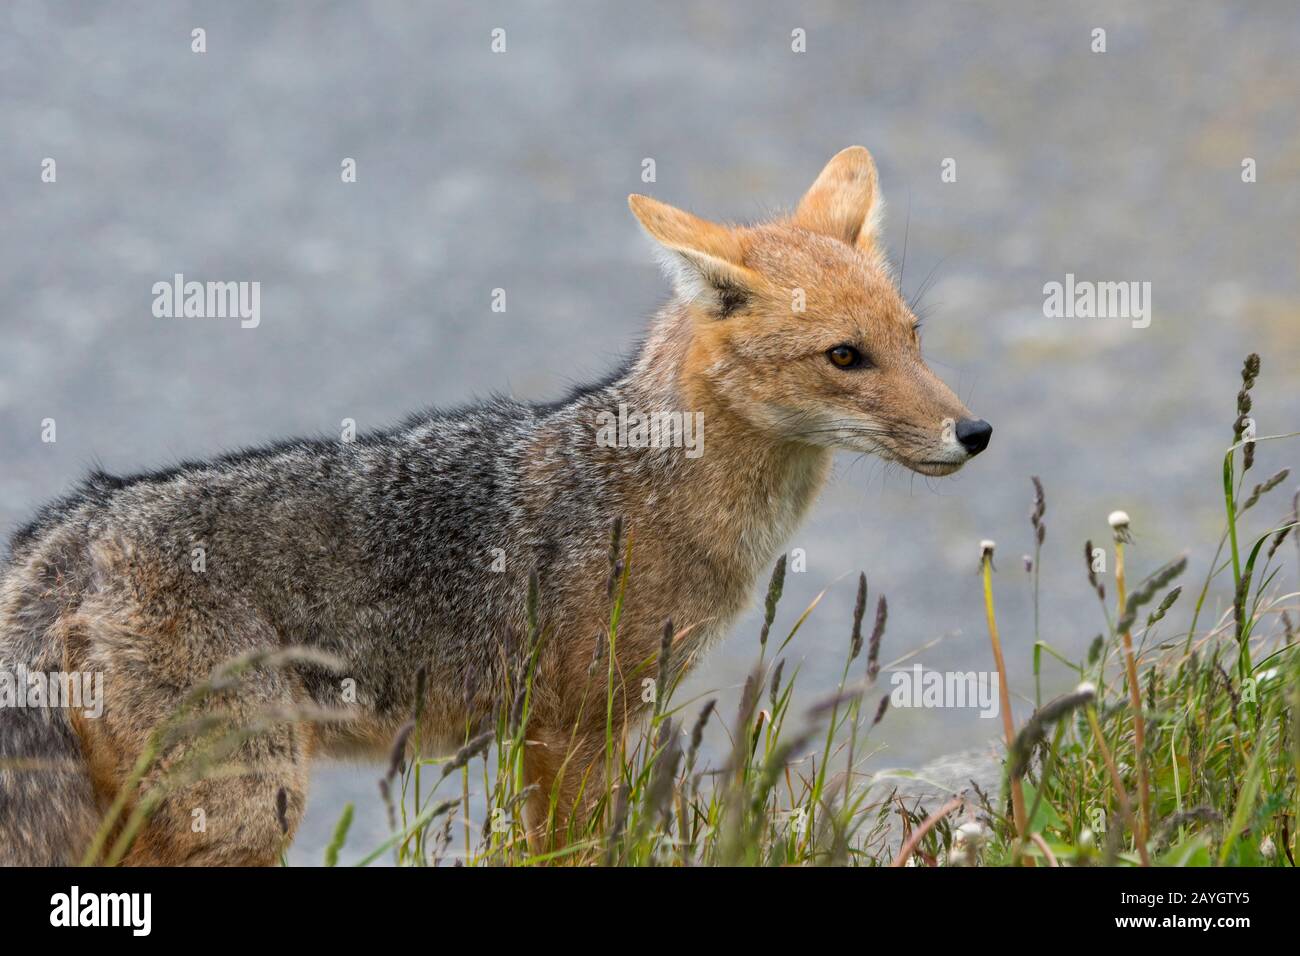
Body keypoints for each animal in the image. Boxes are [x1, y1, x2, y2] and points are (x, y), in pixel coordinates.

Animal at [0, 146, 990, 865]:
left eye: (913, 339)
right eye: (845, 357)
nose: (975, 431)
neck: (649, 489)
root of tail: (74, 530)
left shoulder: (567, 736)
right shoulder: (569, 734)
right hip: (247, 812)